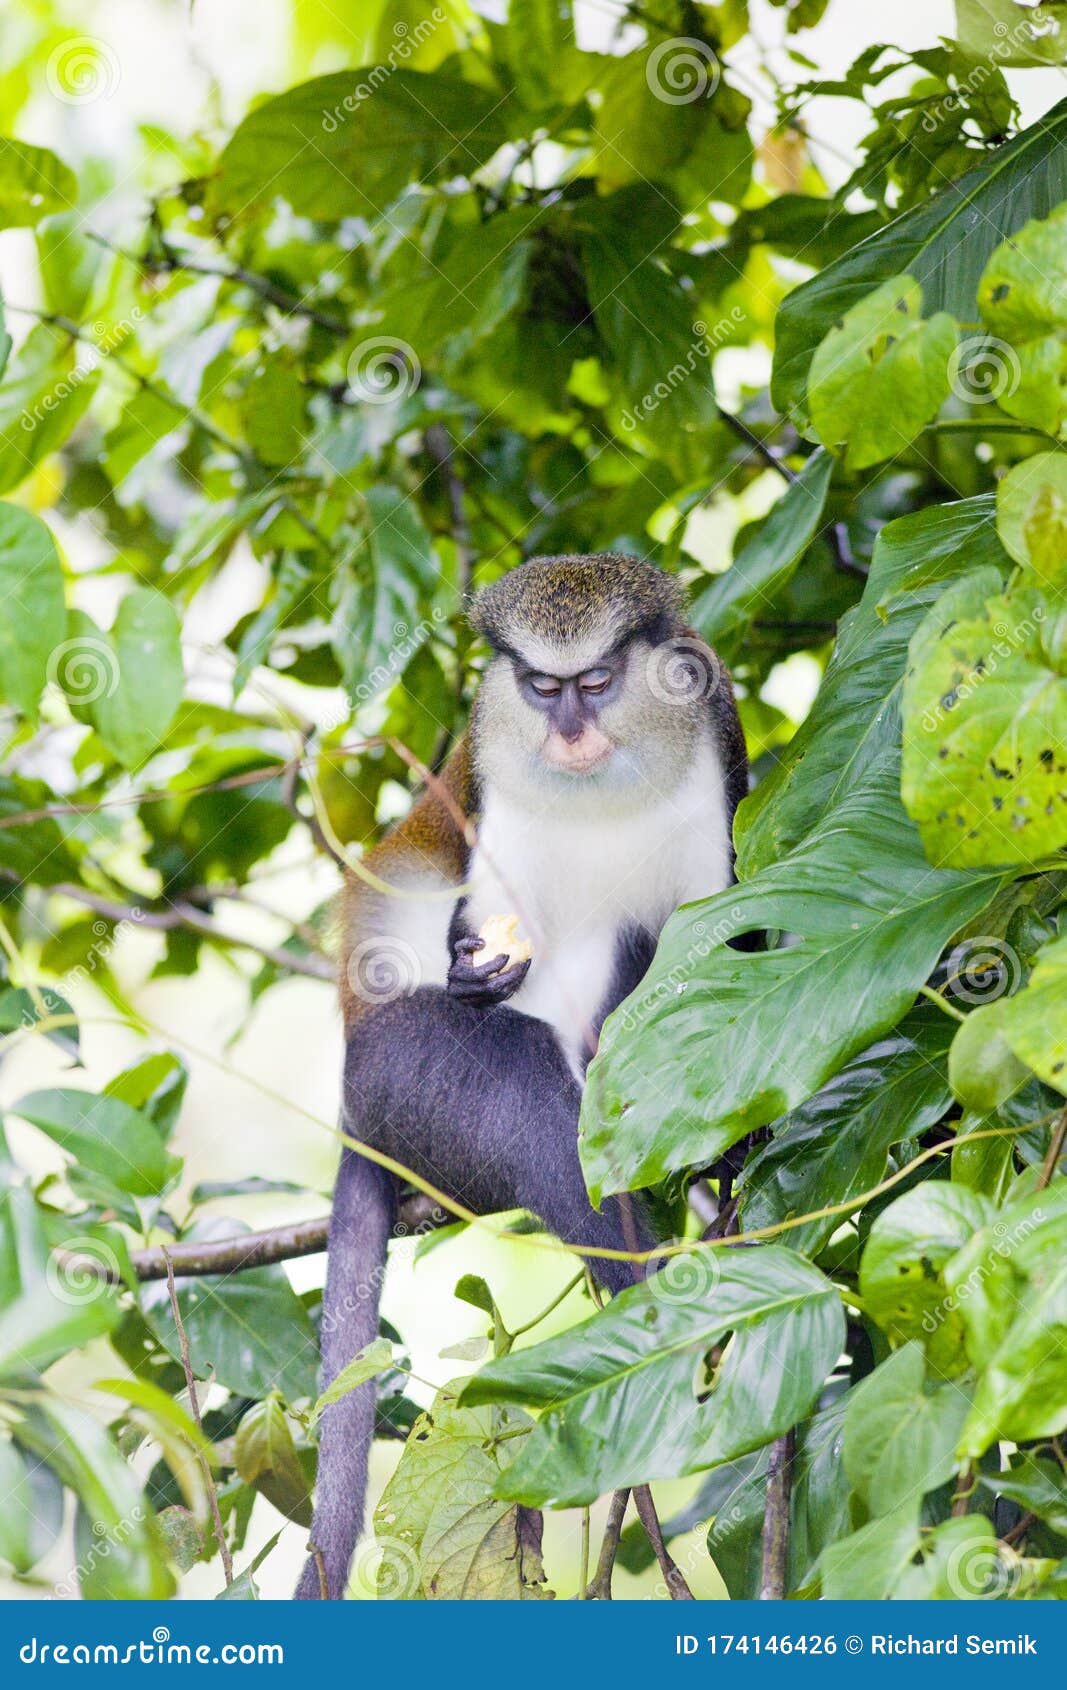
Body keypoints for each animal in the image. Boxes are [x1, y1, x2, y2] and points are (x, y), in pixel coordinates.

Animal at [295, 552, 748, 1599]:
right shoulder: (483, 794)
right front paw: (473, 970)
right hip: (400, 1080)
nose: (568, 731)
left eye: (597, 683)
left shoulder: (716, 748)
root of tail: (354, 1115)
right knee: (533, 1102)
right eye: (542, 687)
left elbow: (709, 942)